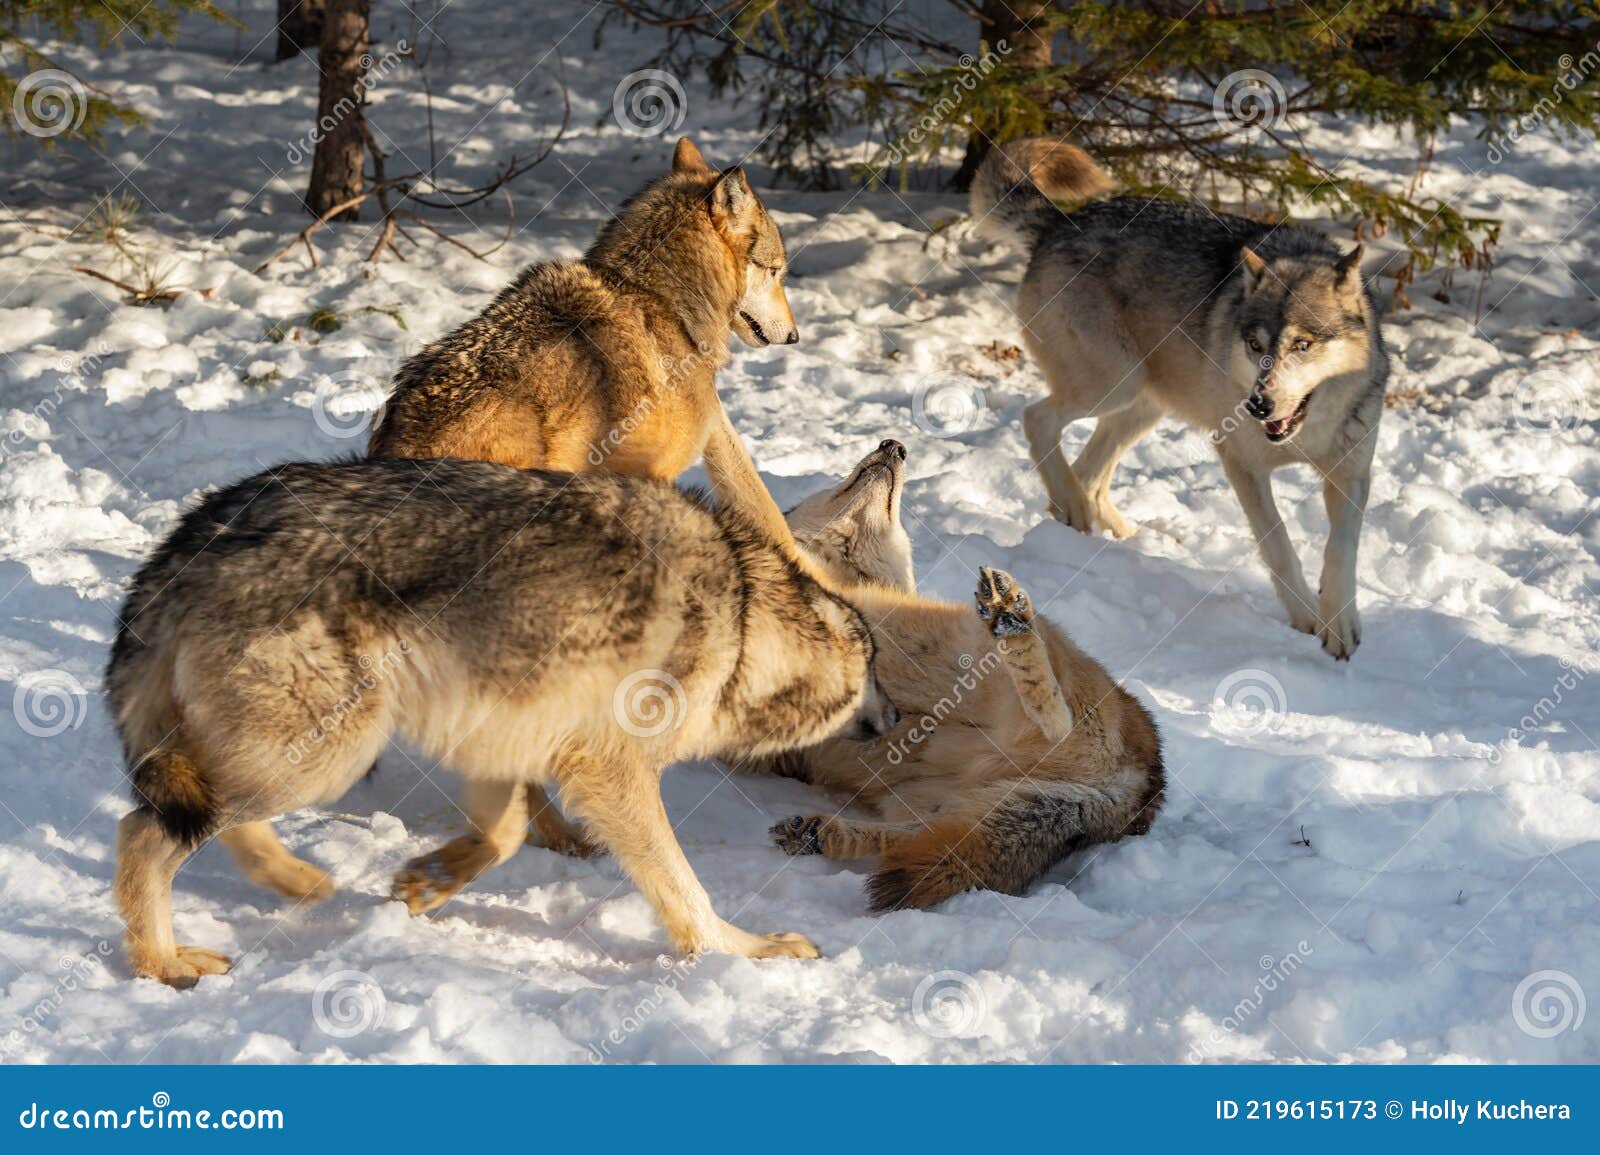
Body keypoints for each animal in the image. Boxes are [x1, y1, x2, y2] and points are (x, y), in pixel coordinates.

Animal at [106, 458, 897, 987]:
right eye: (878, 665)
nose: (896, 719)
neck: (743, 622)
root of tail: (192, 537)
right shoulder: (609, 771)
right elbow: (684, 889)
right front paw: (745, 952)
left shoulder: (501, 735)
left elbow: (507, 833)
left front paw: (427, 882)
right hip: (326, 754)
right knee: (143, 832)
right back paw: (164, 963)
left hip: (311, 754)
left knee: (194, 822)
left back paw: (296, 883)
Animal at [971, 137, 1389, 659]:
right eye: (1255, 345)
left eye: (1302, 345)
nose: (1257, 406)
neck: (1304, 435)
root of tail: (1059, 223)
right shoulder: (1241, 463)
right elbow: (1279, 545)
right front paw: (1307, 621)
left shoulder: (1351, 473)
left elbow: (1341, 550)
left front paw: (1341, 627)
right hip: (1113, 386)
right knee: (1036, 419)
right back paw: (1074, 508)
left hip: (1141, 406)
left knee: (1089, 472)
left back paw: (1106, 529)